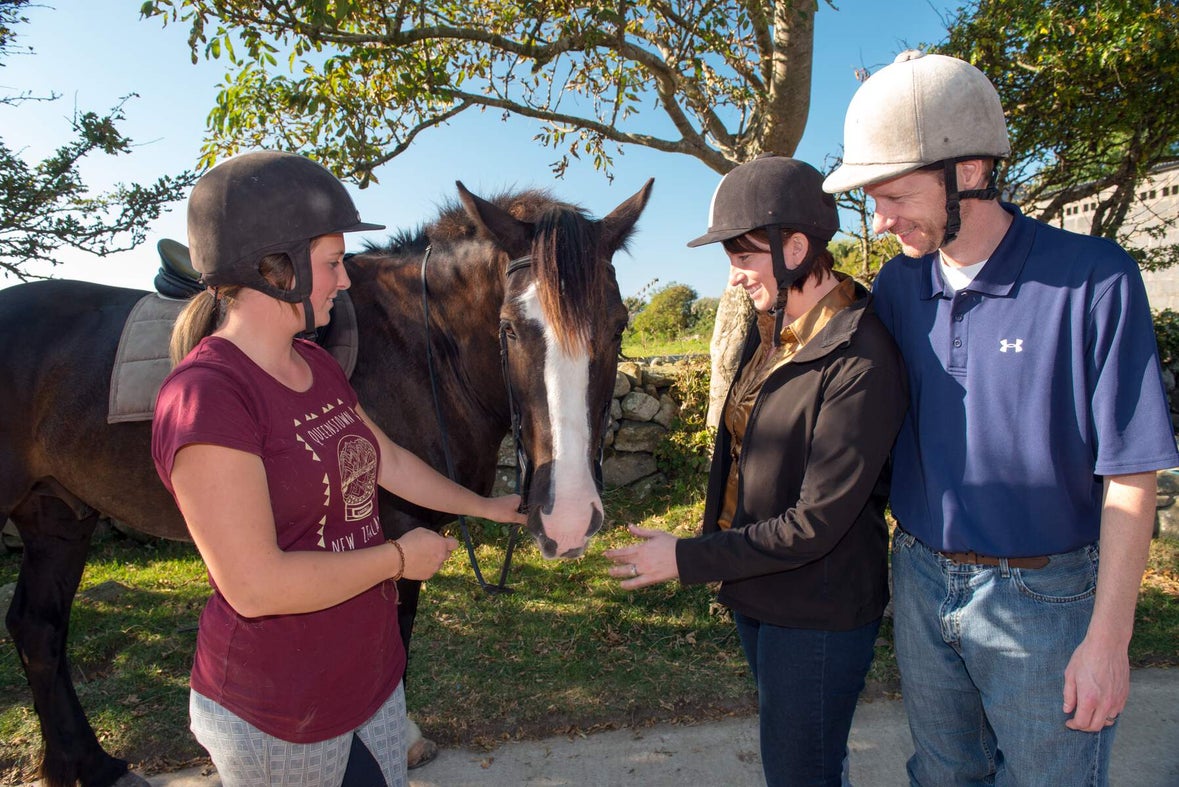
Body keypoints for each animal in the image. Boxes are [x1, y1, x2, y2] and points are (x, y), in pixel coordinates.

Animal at [0, 178, 653, 787]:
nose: (569, 518)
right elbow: (394, 641)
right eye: (512, 329)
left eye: (619, 327)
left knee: (38, 628)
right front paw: (397, 735)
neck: (419, 349)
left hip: (58, 515)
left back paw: (89, 764)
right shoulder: (393, 532)